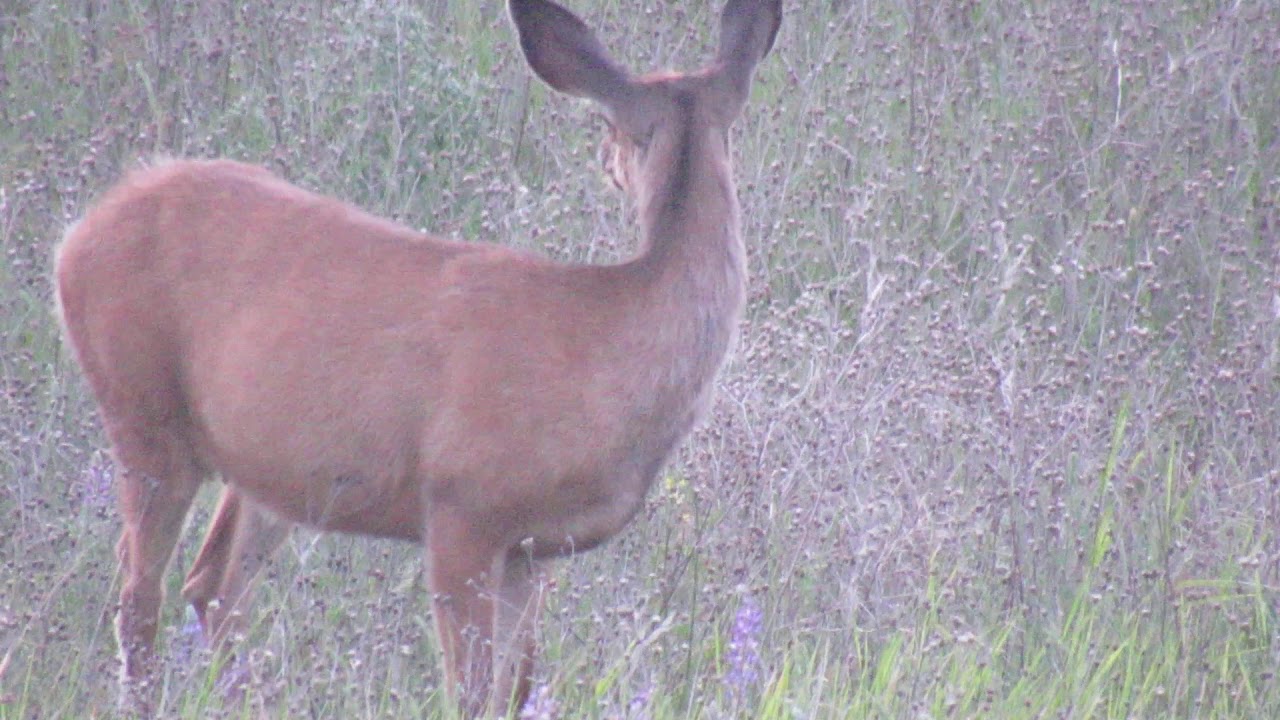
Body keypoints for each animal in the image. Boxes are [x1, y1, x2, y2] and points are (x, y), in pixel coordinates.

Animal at [53, 0, 781, 715]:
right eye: (607, 121)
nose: (604, 158)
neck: (608, 341)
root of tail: (80, 233)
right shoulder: (461, 505)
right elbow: (472, 690)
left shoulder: (533, 548)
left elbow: (516, 688)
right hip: (142, 411)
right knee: (139, 598)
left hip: (270, 464)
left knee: (212, 584)